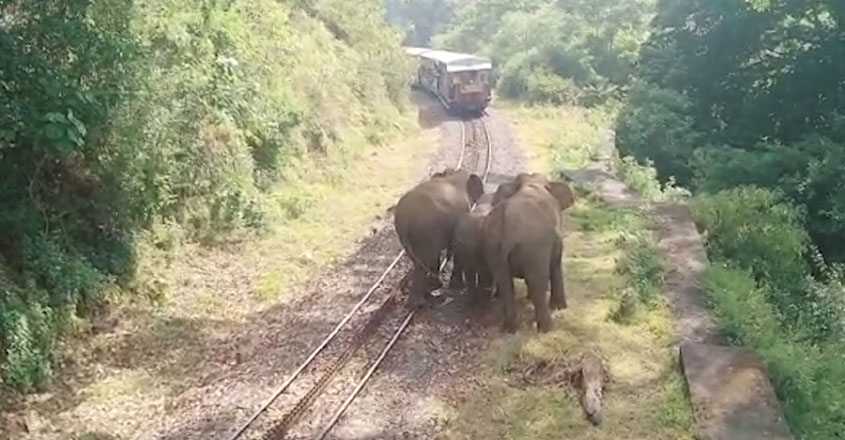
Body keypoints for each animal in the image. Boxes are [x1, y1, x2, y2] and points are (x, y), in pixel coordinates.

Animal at [394, 168, 485, 308]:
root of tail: (405, 217)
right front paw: (456, 286)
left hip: (413, 236)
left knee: (420, 261)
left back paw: (429, 289)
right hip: (424, 230)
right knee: (424, 260)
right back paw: (420, 301)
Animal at [482, 172, 575, 333]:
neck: (532, 184)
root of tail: (507, 226)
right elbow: (556, 263)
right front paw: (560, 308)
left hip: (494, 246)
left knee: (505, 284)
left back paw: (511, 329)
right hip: (535, 247)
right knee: (537, 282)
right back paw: (547, 328)